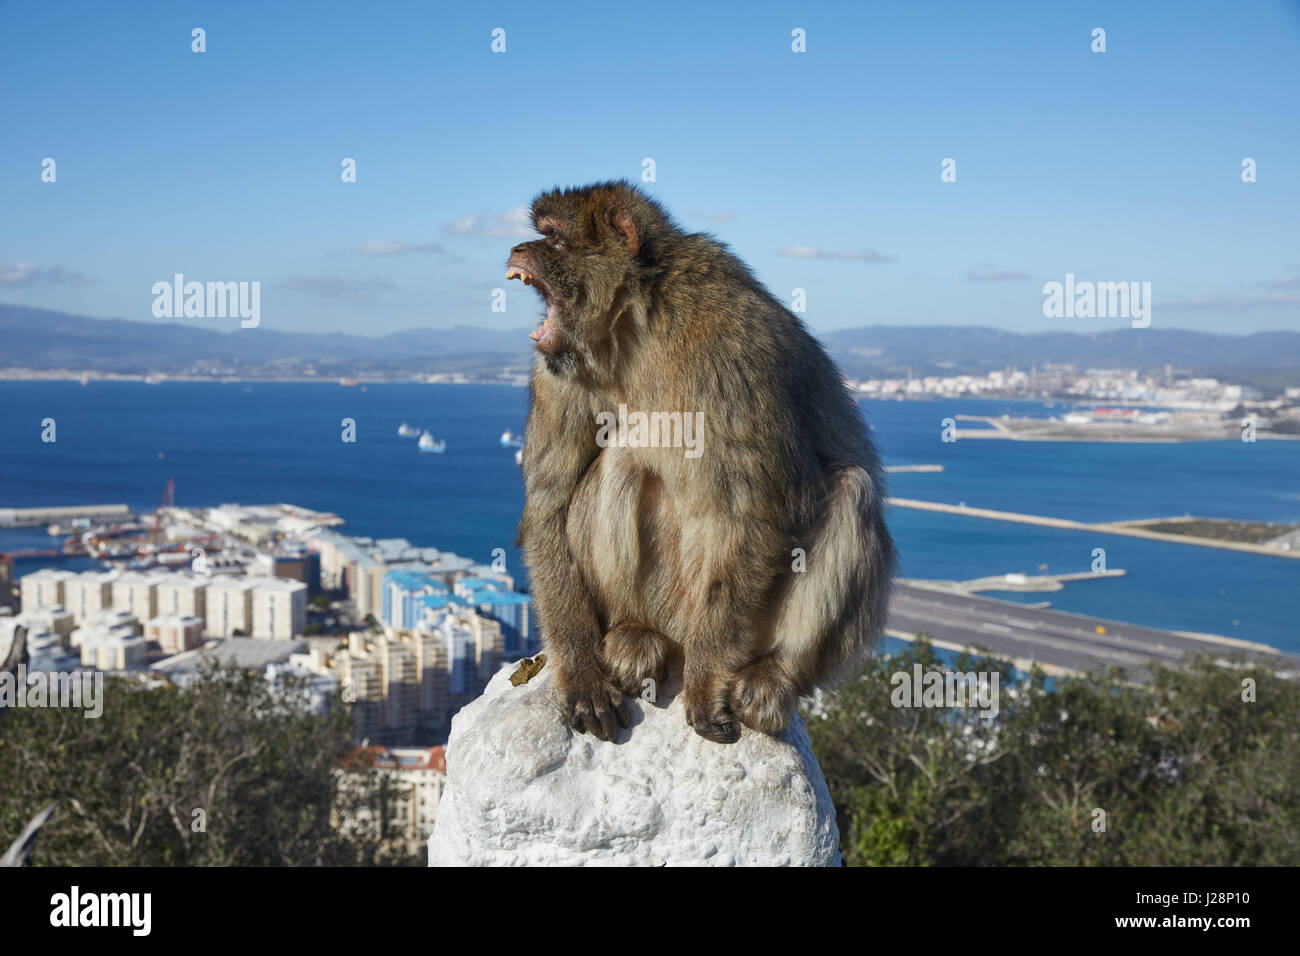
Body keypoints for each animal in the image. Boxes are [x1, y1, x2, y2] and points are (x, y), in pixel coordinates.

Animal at [510, 181, 895, 744]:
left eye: (553, 236)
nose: (518, 249)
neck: (637, 327)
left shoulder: (732, 349)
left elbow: (765, 509)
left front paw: (708, 679)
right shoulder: (556, 373)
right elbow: (549, 502)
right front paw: (581, 672)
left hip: (735, 625)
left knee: (851, 490)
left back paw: (771, 675)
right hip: (667, 607)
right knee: (622, 459)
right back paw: (634, 633)